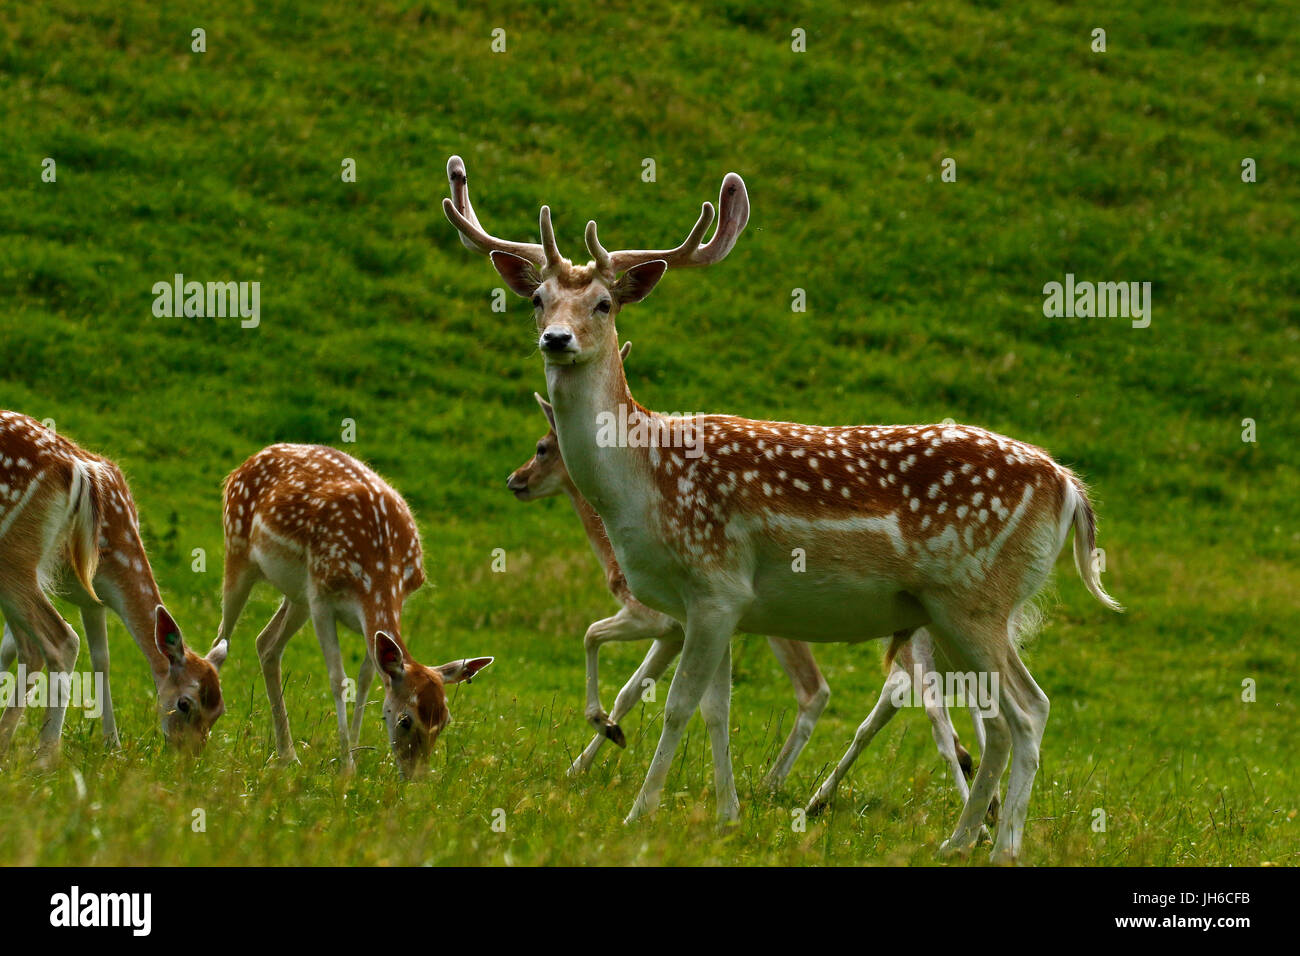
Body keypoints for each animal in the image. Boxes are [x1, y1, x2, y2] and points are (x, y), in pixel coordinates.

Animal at [0, 410, 227, 757]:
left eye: (219, 712)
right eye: (185, 704)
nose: (188, 758)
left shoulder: (90, 597)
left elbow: (101, 659)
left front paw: (112, 745)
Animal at [213, 443, 492, 777]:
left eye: (445, 720)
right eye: (406, 720)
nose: (416, 777)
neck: (377, 571)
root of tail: (241, 467)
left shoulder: (381, 609)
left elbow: (366, 678)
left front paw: (355, 756)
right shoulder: (322, 599)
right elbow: (338, 679)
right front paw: (346, 765)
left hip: (297, 595)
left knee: (266, 643)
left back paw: (287, 755)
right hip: (238, 548)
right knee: (222, 639)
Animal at [444, 155, 1120, 862]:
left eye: (604, 303)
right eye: (538, 299)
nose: (556, 339)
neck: (644, 484)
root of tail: (1069, 487)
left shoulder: (714, 584)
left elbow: (677, 705)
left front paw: (639, 813)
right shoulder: (715, 606)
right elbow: (715, 709)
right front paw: (725, 815)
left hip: (976, 600)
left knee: (1028, 710)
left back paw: (1001, 845)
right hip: (953, 614)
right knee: (999, 722)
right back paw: (956, 841)